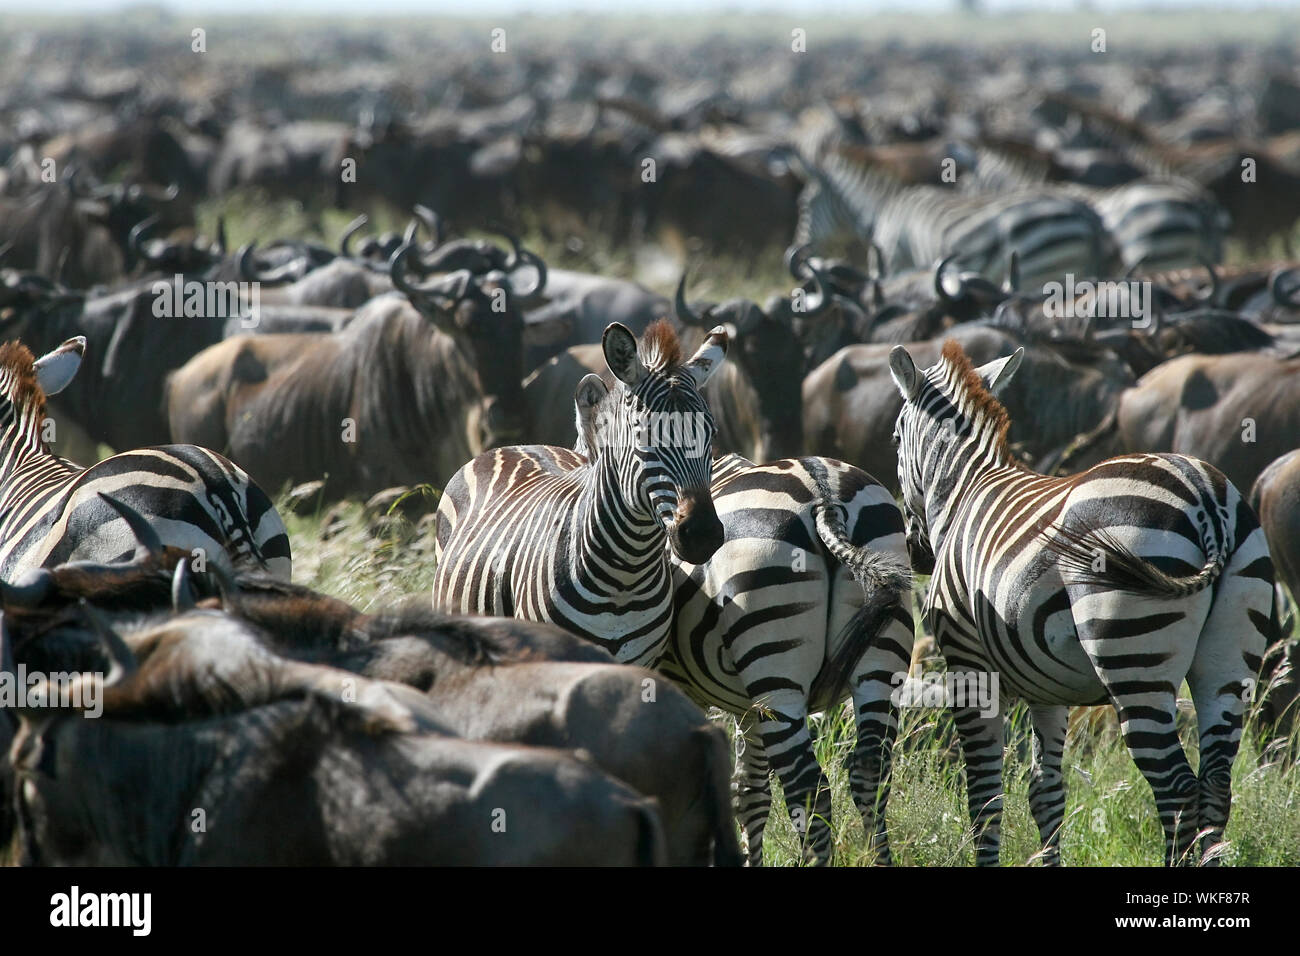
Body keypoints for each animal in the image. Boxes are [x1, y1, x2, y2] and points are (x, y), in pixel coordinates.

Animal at [652, 453, 914, 865]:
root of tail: (824, 493)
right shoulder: (746, 706)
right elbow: (749, 793)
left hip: (777, 673)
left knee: (808, 787)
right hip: (882, 661)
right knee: (871, 769)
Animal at [887, 338, 1275, 866]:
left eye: (894, 438)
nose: (919, 553)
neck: (964, 489)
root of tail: (1206, 499)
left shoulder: (970, 666)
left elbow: (984, 795)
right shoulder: (1046, 687)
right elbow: (1044, 791)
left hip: (1134, 656)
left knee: (1176, 788)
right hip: (1230, 659)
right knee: (1215, 783)